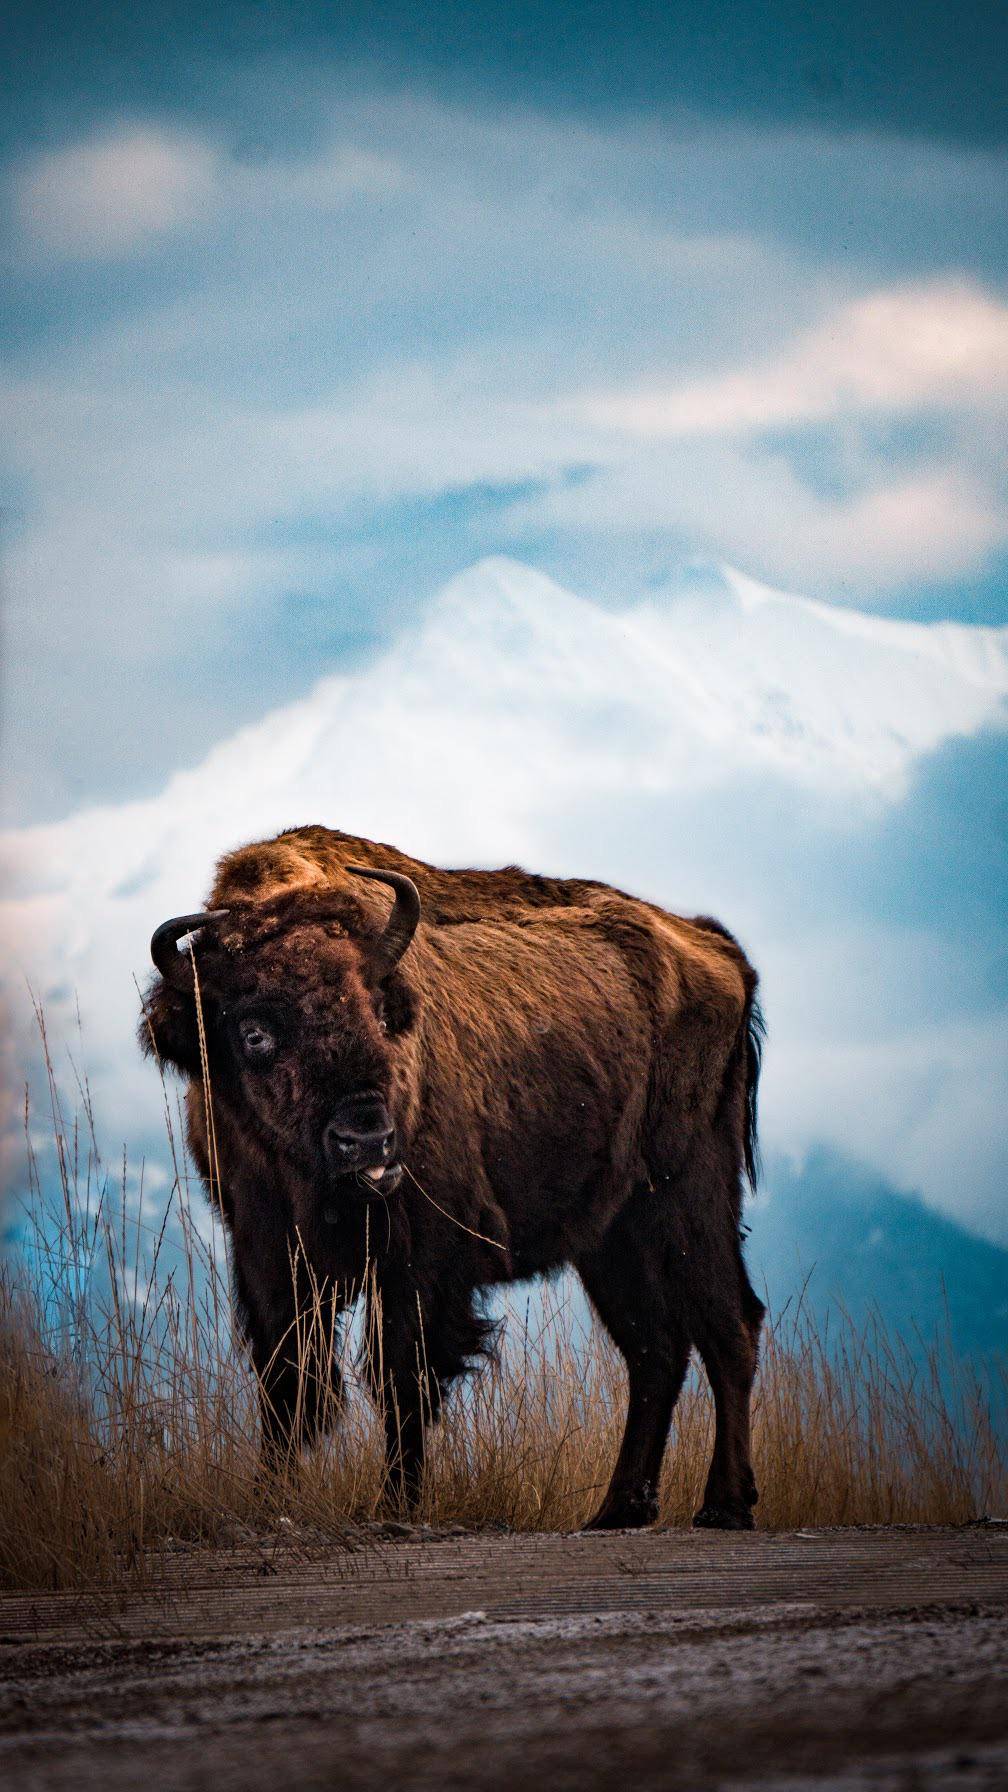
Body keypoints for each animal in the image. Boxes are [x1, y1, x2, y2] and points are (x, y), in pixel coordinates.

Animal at [142, 826, 765, 1529]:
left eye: (379, 1010)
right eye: (253, 1032)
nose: (368, 1138)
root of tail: (715, 948)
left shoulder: (420, 1263)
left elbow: (400, 1379)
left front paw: (395, 1505)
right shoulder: (269, 1255)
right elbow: (288, 1379)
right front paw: (265, 1503)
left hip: (689, 1196)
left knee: (728, 1328)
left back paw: (723, 1507)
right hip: (613, 1237)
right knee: (655, 1348)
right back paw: (616, 1511)